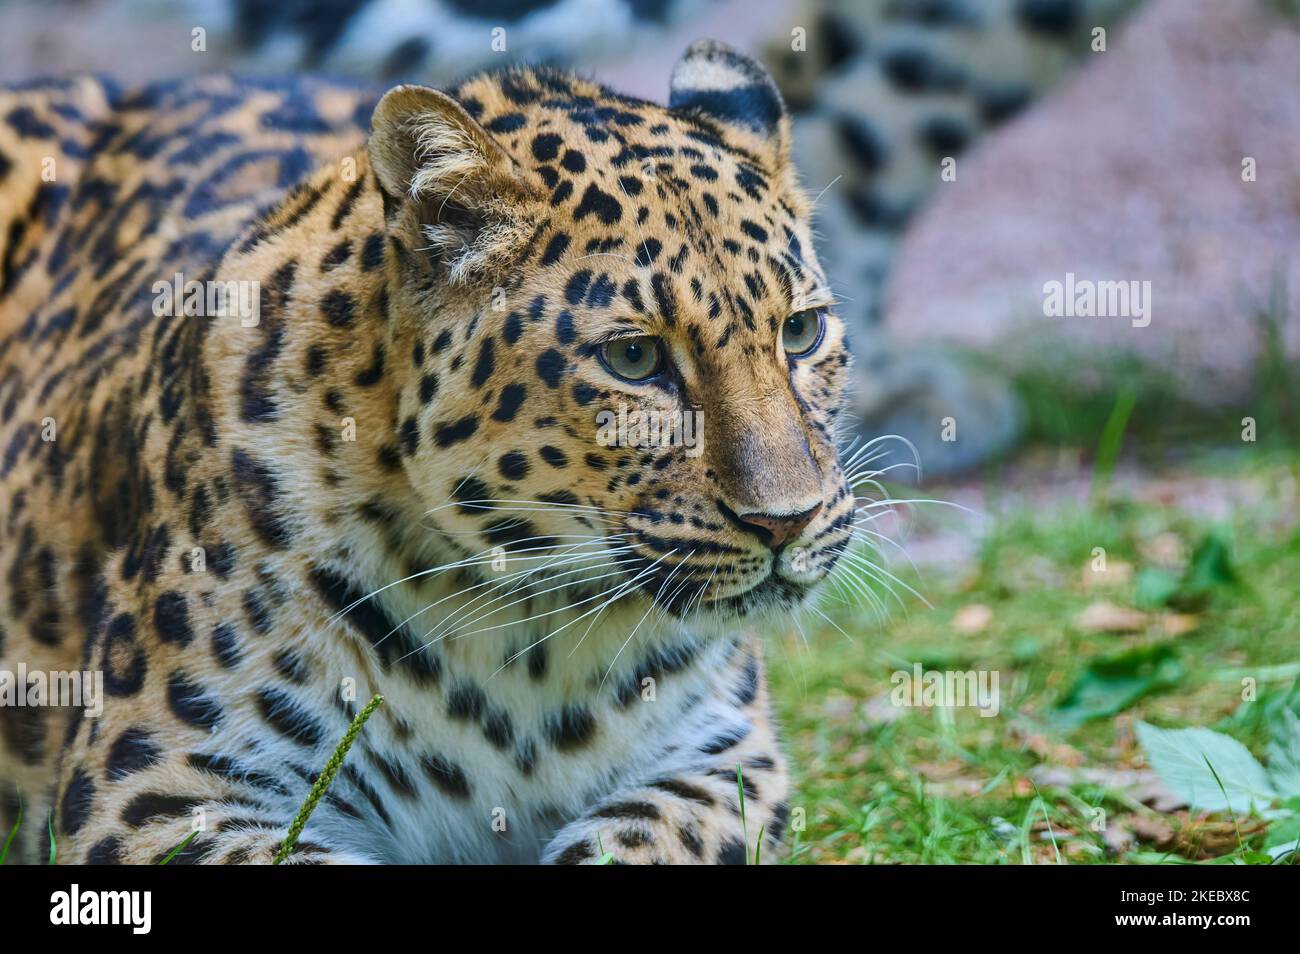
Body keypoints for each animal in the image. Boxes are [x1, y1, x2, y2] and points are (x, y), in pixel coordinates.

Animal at [0, 42, 859, 864]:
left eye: (801, 331)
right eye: (635, 359)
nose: (788, 522)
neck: (526, 635)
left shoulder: (719, 757)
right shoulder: (154, 786)